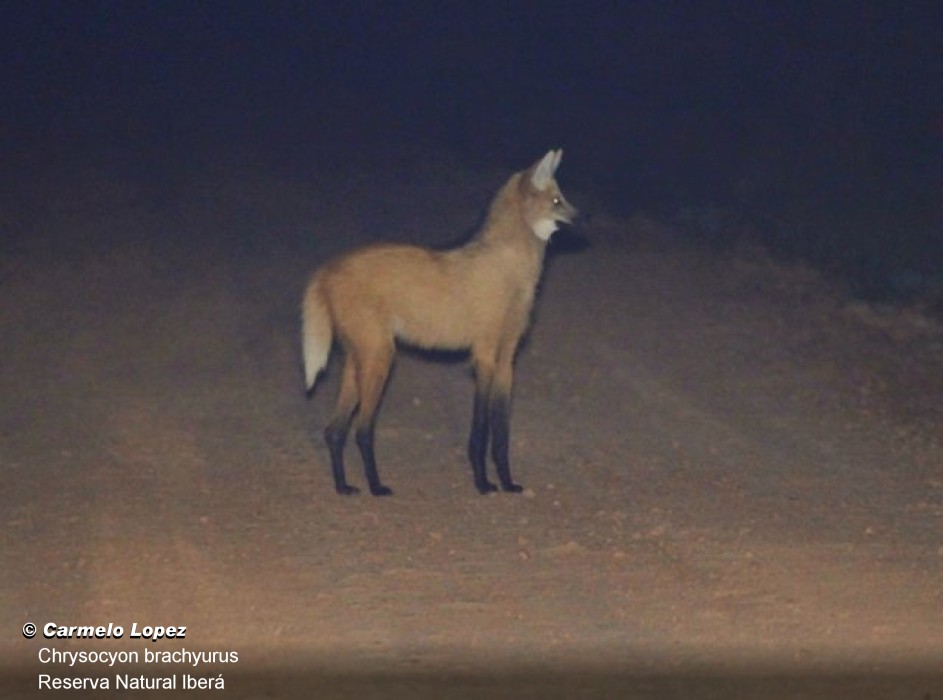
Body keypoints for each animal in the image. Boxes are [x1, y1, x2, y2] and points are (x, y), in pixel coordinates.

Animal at [302, 149, 577, 495]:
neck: (510, 266)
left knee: (333, 430)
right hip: (380, 357)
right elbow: (481, 429)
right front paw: (483, 483)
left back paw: (343, 487)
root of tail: (327, 268)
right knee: (362, 429)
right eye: (556, 201)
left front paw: (507, 482)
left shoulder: (506, 359)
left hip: (359, 358)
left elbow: (502, 433)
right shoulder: (484, 355)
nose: (581, 216)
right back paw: (376, 486)